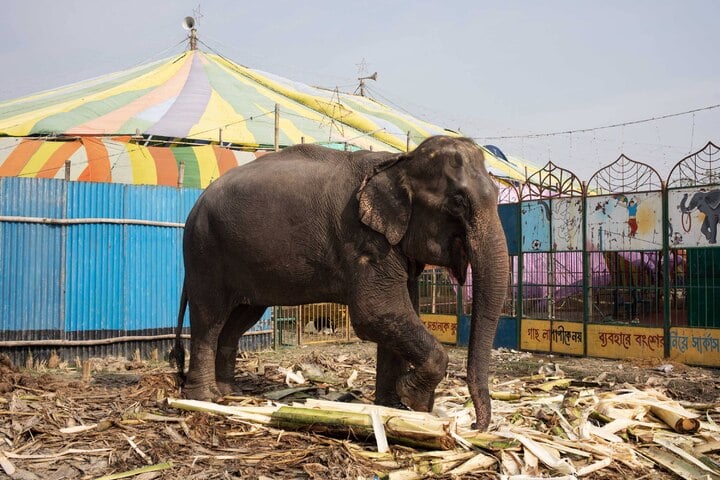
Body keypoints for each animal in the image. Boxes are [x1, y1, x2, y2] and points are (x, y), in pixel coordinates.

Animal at [173, 135, 509, 431]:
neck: (400, 160)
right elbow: (376, 312)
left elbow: (399, 314)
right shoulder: (364, 240)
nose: (476, 425)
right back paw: (204, 399)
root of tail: (196, 203)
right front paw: (415, 401)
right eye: (458, 202)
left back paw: (230, 392)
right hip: (205, 252)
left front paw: (392, 407)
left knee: (240, 318)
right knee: (209, 318)